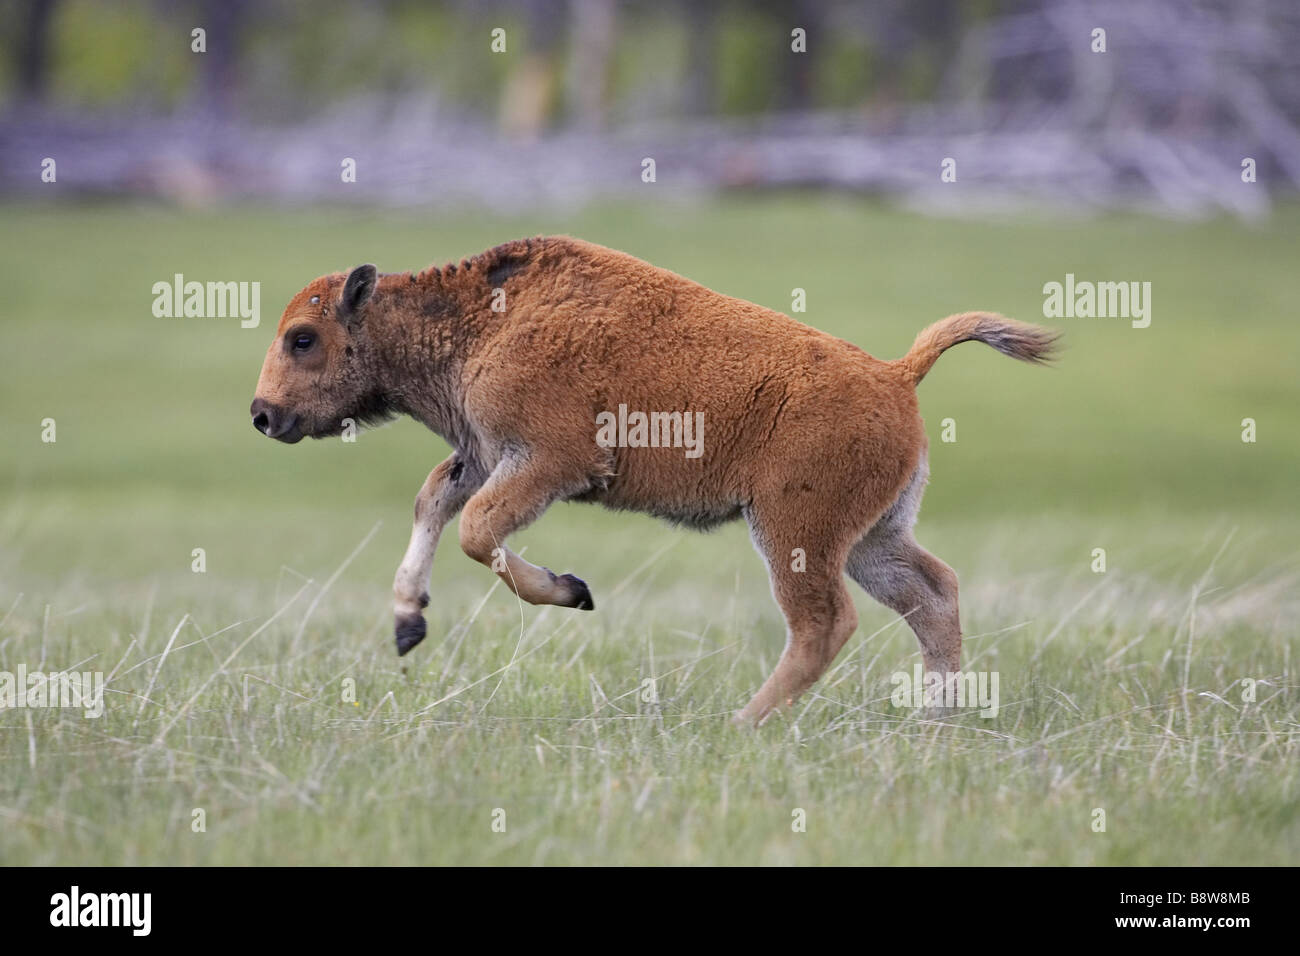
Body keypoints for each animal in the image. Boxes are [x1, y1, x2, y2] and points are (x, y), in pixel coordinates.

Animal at [250, 237, 1057, 725]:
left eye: (303, 337)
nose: (262, 414)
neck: (484, 318)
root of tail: (896, 374)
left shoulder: (547, 462)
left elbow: (477, 531)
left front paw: (572, 591)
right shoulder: (481, 456)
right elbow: (433, 503)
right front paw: (408, 622)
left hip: (795, 532)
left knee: (825, 623)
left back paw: (745, 723)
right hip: (871, 537)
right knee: (931, 594)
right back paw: (935, 720)